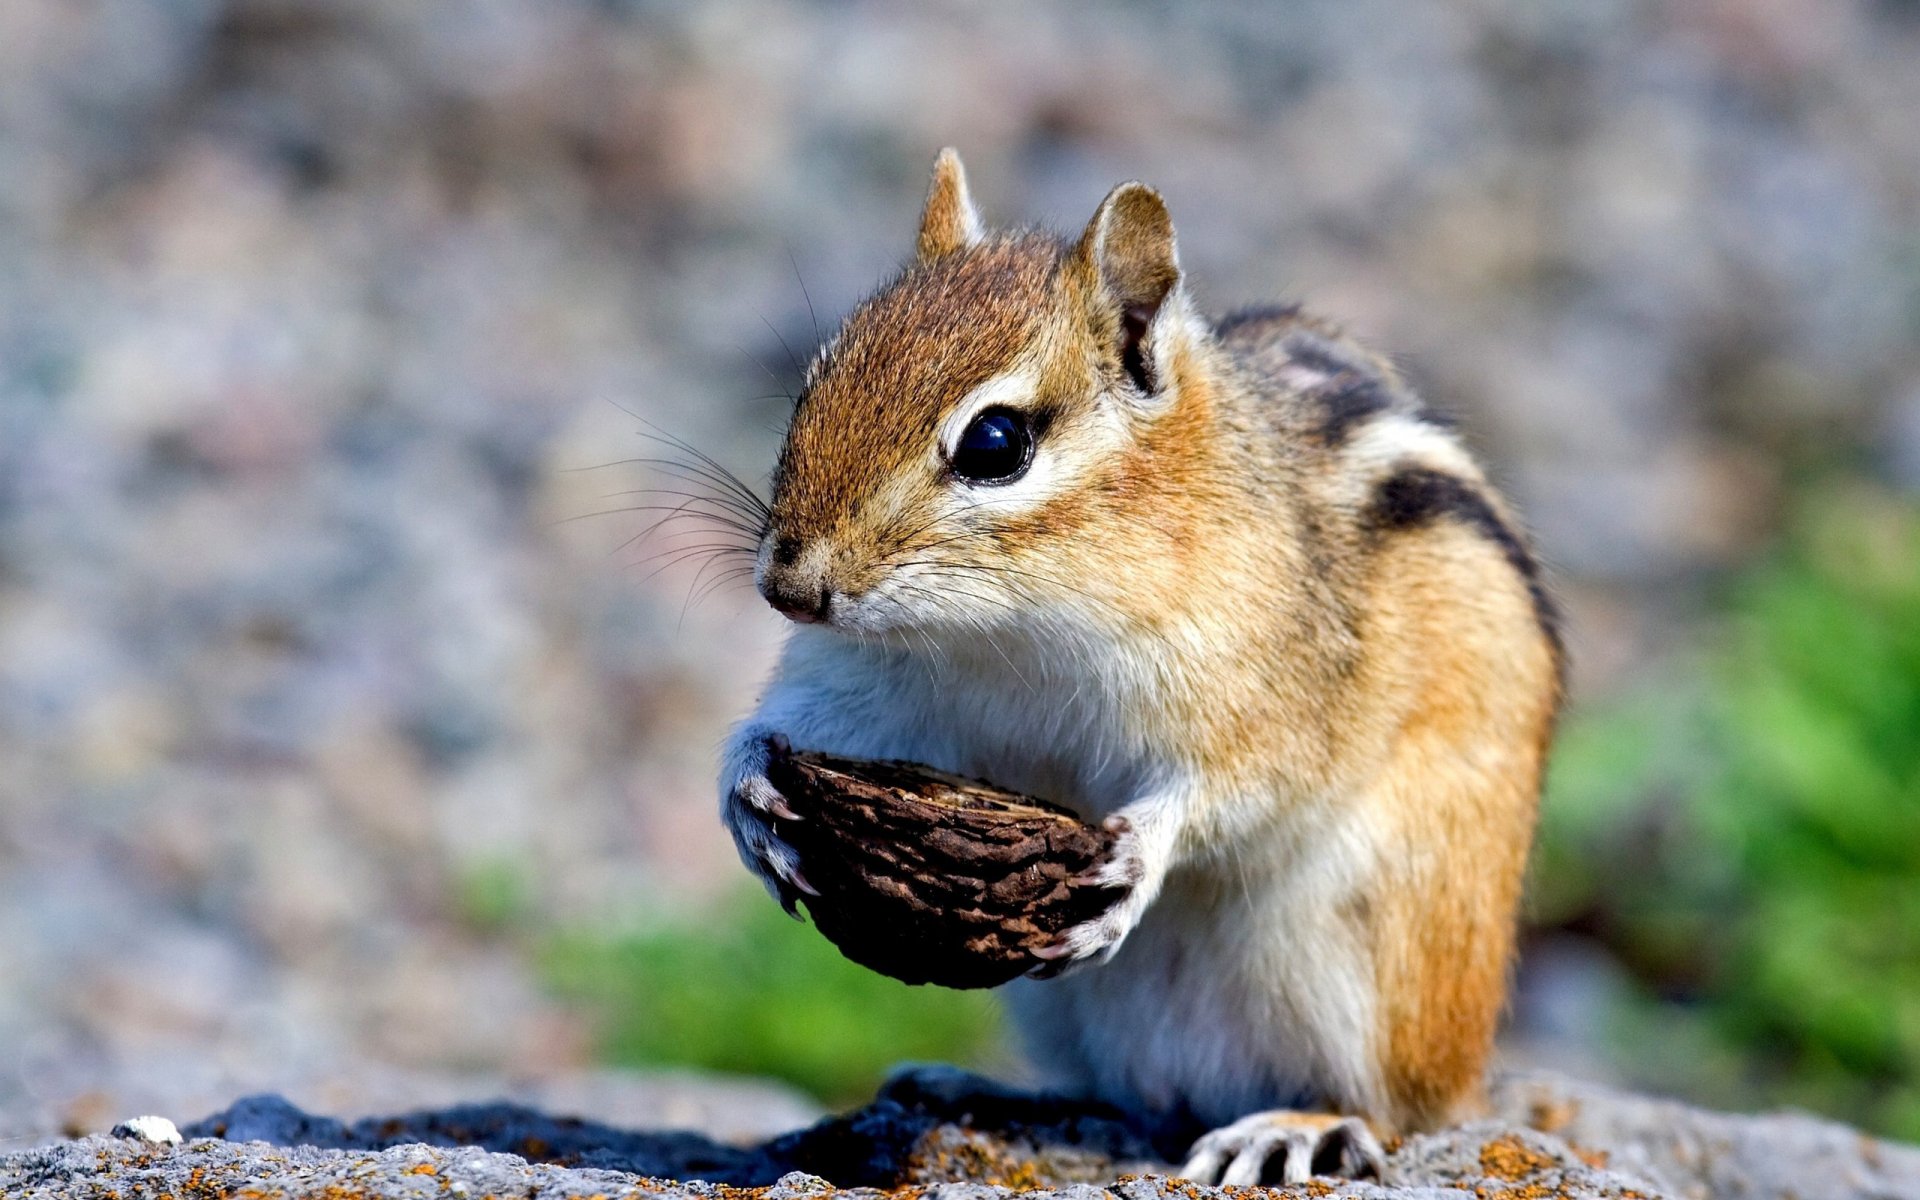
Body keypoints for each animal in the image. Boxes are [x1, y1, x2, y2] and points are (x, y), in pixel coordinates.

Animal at [718, 149, 1563, 1185]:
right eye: (815, 379)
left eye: (995, 443)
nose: (788, 587)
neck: (1007, 631)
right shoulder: (865, 685)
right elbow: (787, 723)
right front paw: (748, 792)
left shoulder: (1266, 686)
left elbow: (1240, 786)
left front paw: (1139, 856)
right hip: (1053, 1003)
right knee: (1118, 1098)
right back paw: (982, 1090)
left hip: (1373, 964)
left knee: (1401, 1111)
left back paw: (1296, 1126)